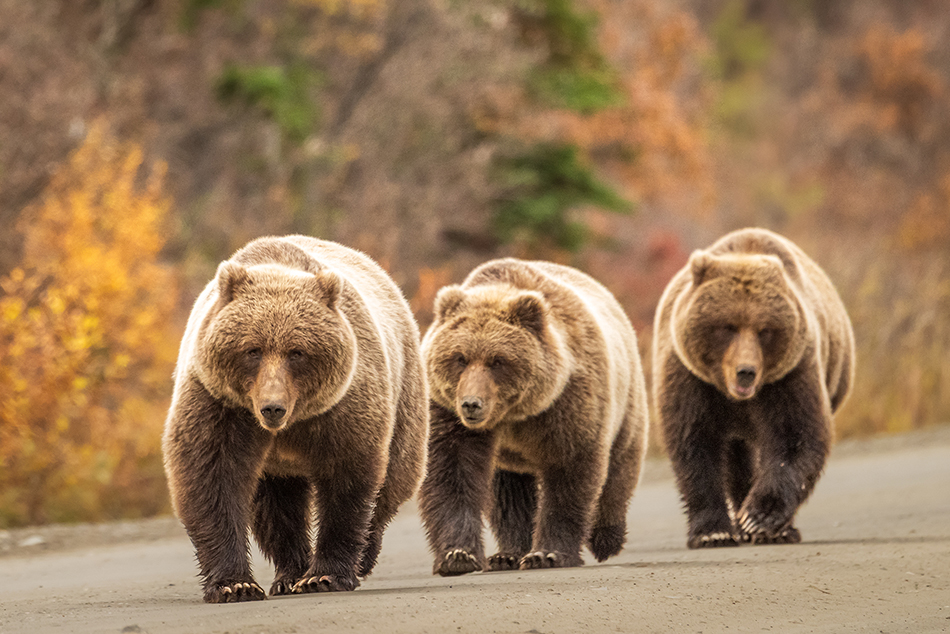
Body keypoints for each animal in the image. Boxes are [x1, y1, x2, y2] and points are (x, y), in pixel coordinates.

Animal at [162, 235, 429, 603]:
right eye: (252, 350)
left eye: (297, 352)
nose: (272, 407)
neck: (291, 424)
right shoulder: (218, 402)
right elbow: (211, 476)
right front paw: (235, 584)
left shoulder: (343, 406)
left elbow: (347, 476)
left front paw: (325, 575)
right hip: (276, 466)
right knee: (276, 507)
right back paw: (290, 573)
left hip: (404, 397)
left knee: (393, 480)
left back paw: (361, 557)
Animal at [417, 258, 649, 575]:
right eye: (459, 358)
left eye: (497, 360)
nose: (471, 404)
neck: (514, 415)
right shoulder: (447, 412)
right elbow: (451, 470)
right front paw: (458, 556)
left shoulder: (568, 401)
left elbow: (570, 468)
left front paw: (548, 554)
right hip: (507, 460)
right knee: (507, 495)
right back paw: (508, 554)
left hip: (626, 402)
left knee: (620, 466)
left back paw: (606, 538)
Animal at [652, 227, 855, 549]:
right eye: (727, 326)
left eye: (764, 330)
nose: (746, 371)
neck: (733, 396)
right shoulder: (689, 378)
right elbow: (694, 443)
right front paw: (713, 532)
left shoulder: (791, 373)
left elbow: (794, 437)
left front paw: (759, 518)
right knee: (736, 458)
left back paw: (777, 529)